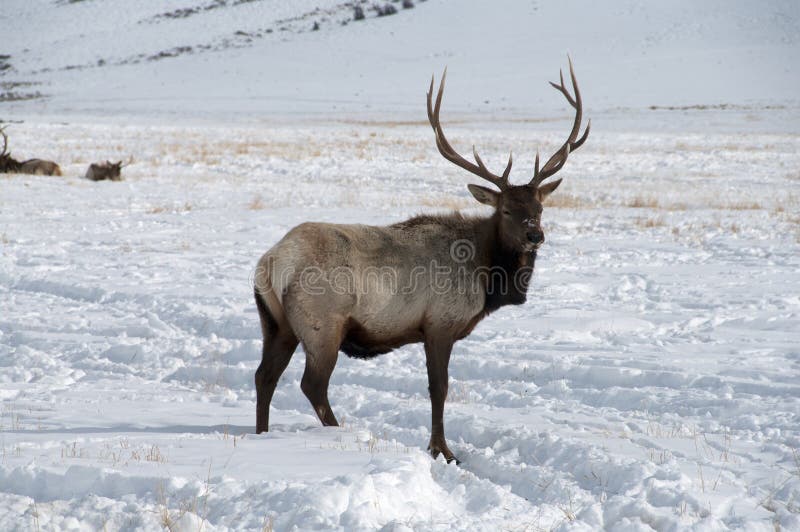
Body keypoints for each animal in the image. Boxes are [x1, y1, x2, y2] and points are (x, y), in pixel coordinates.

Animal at [253, 59, 590, 464]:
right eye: (507, 209)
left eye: (539, 208)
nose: (534, 235)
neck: (487, 275)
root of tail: (271, 263)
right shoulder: (440, 323)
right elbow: (438, 388)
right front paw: (443, 450)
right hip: (322, 324)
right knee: (312, 384)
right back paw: (341, 432)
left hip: (276, 323)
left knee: (264, 376)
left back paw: (261, 434)